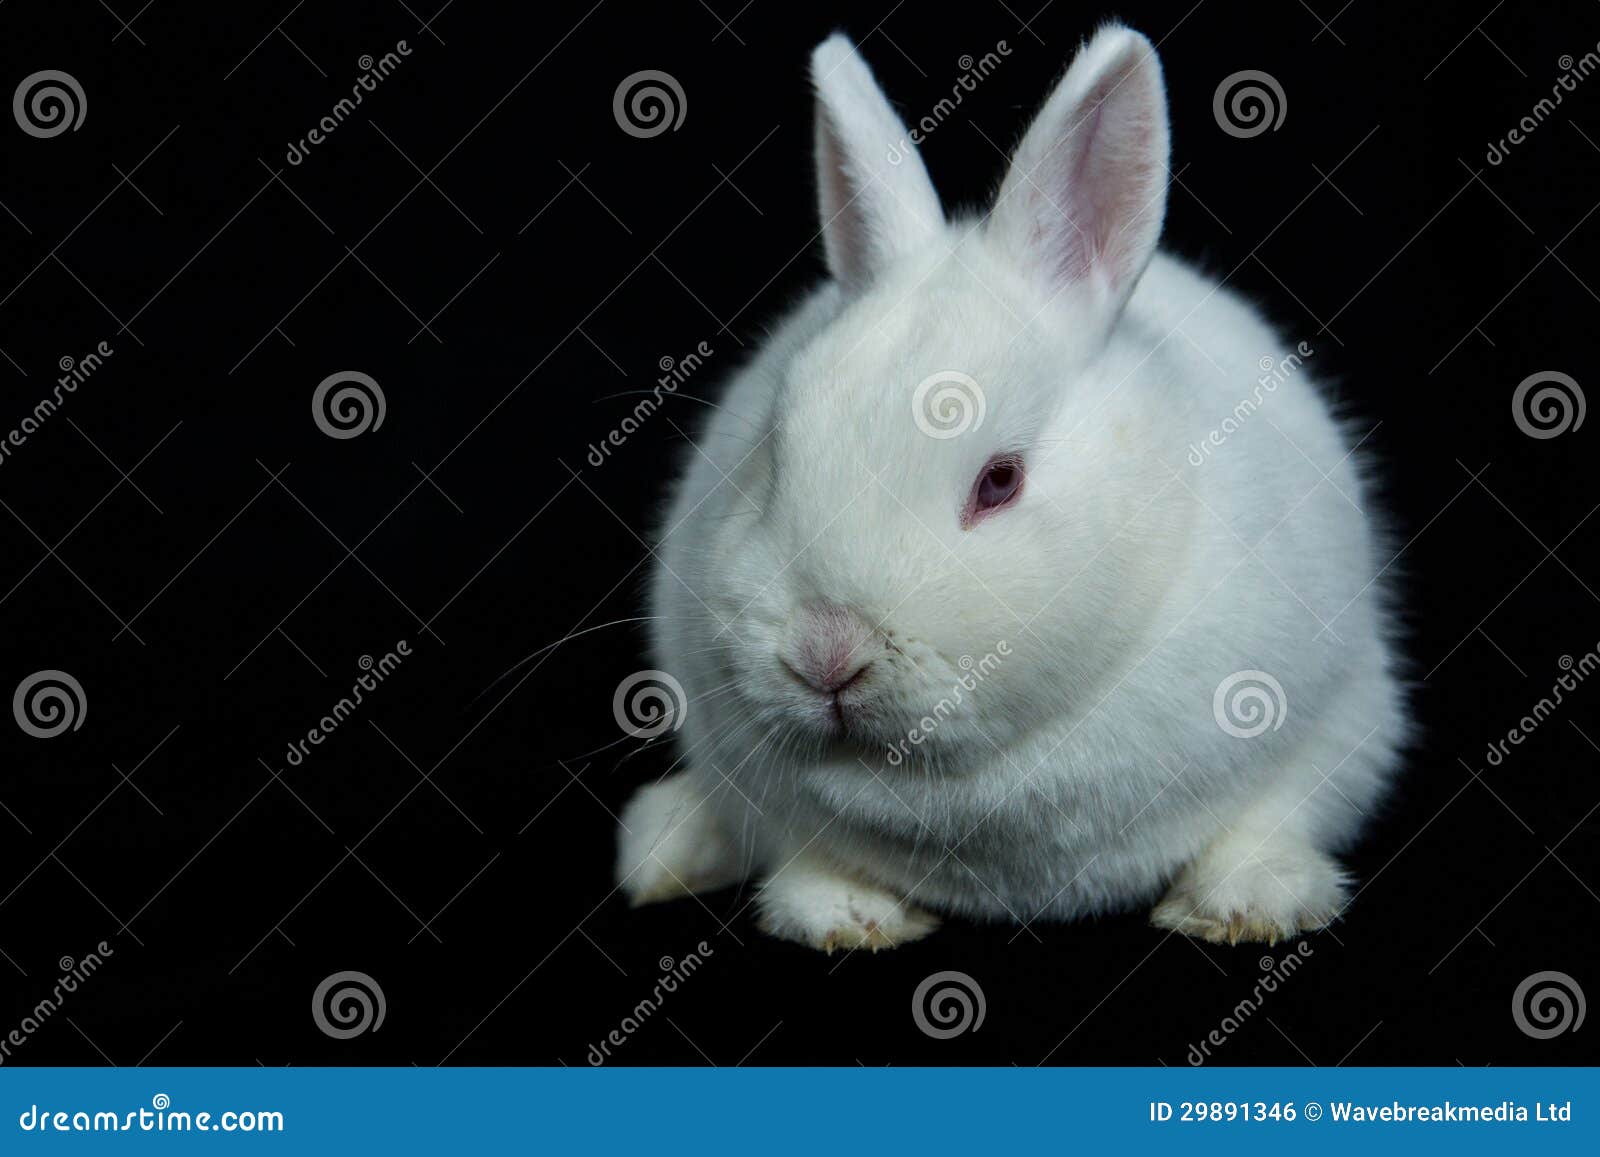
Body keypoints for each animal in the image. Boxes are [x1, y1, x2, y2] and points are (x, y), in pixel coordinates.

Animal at [614, 24, 1409, 952]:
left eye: (1000, 482)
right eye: (774, 452)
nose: (826, 654)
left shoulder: (1337, 721)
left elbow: (1270, 819)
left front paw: (1247, 906)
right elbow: (805, 855)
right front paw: (847, 915)